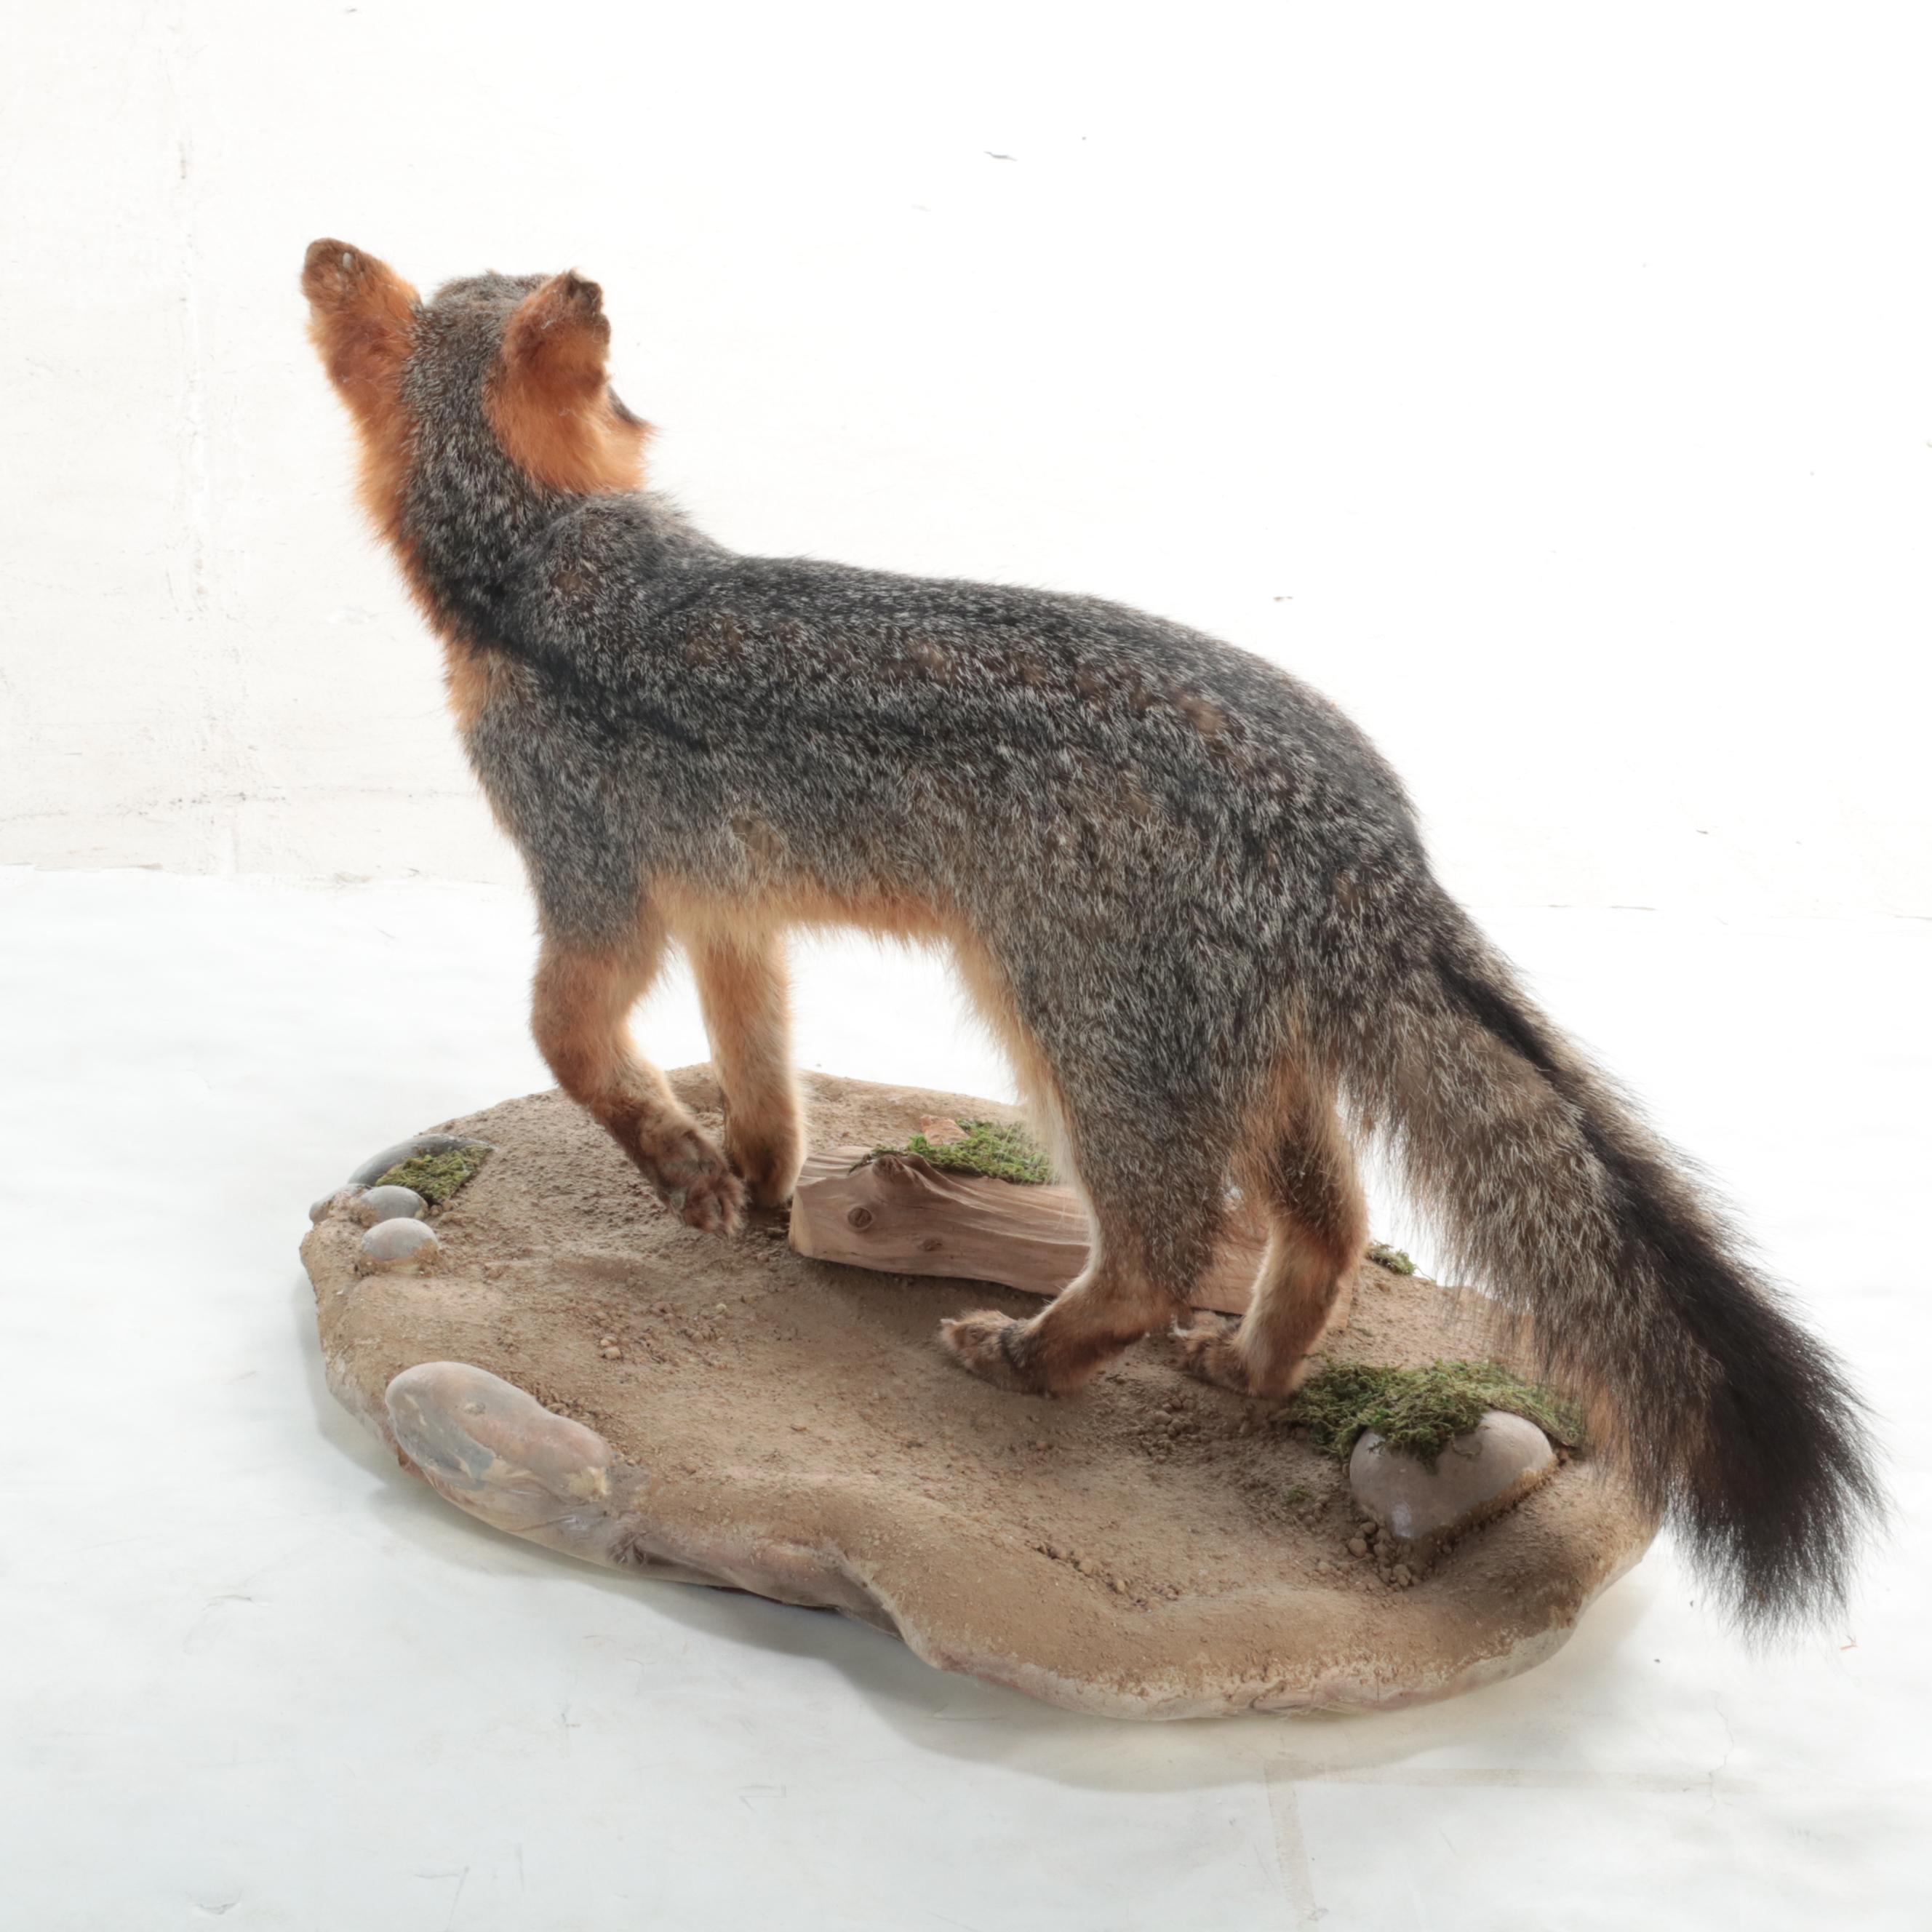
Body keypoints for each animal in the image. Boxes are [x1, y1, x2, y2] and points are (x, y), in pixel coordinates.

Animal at [302, 237, 1878, 1630]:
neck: (546, 555)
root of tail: (1357, 818)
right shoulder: (728, 910)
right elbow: (762, 1070)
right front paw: (747, 1177)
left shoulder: (596, 896)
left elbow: (565, 1038)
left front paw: (676, 1164)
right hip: (1241, 1063)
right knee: (1334, 1221)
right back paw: (1249, 1369)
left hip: (1072, 1038)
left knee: (1165, 1245)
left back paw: (1031, 1353)